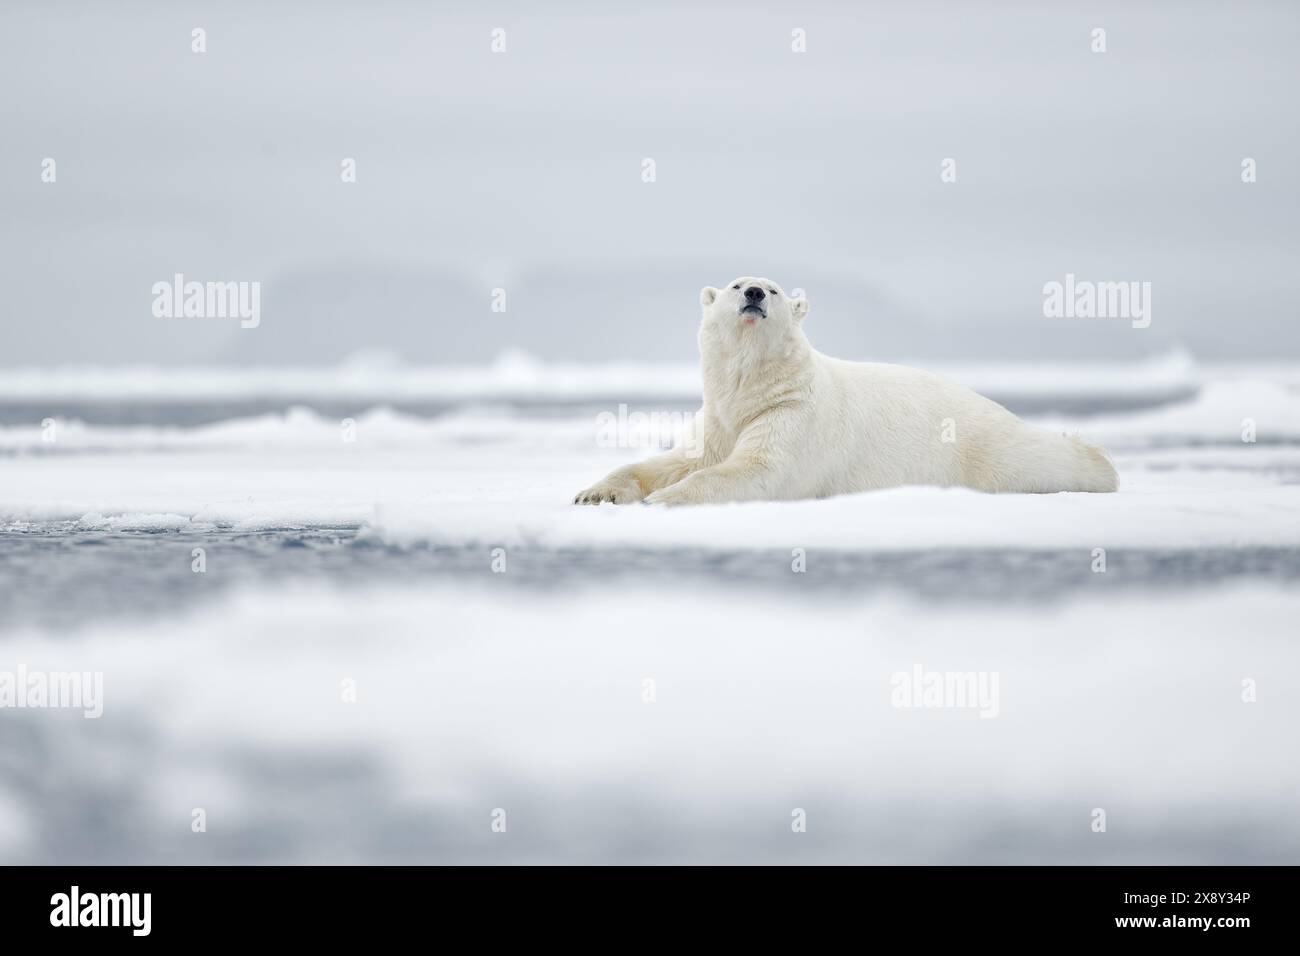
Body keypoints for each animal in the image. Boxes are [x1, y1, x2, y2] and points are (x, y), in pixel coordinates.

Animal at [573, 276, 1118, 506]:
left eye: (773, 289)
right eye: (734, 285)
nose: (754, 294)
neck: (751, 390)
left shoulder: (791, 413)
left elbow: (759, 469)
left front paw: (664, 500)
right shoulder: (718, 420)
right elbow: (674, 461)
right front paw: (595, 493)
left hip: (982, 446)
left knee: (1034, 457)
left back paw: (1100, 465)